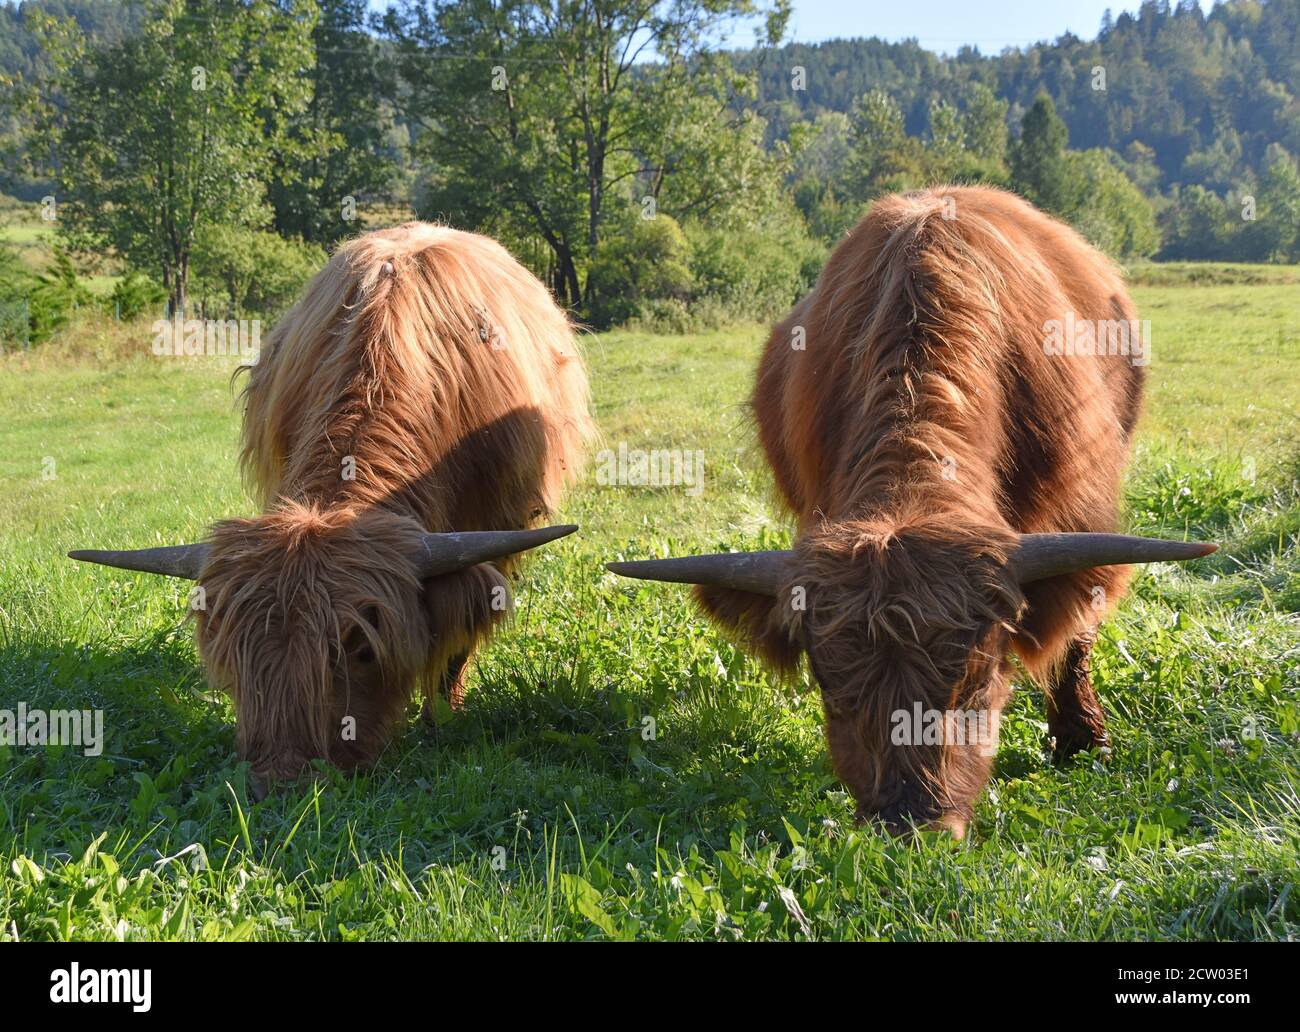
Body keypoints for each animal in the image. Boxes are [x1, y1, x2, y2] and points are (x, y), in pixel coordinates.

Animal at [71, 222, 593, 795]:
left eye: (361, 646)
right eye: (233, 648)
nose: (281, 778)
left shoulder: (496, 533)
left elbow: (458, 640)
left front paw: (444, 719)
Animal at [608, 186, 1215, 837]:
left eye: (979, 682)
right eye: (832, 689)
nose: (912, 825)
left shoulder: (1080, 518)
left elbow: (1073, 634)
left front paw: (1082, 742)